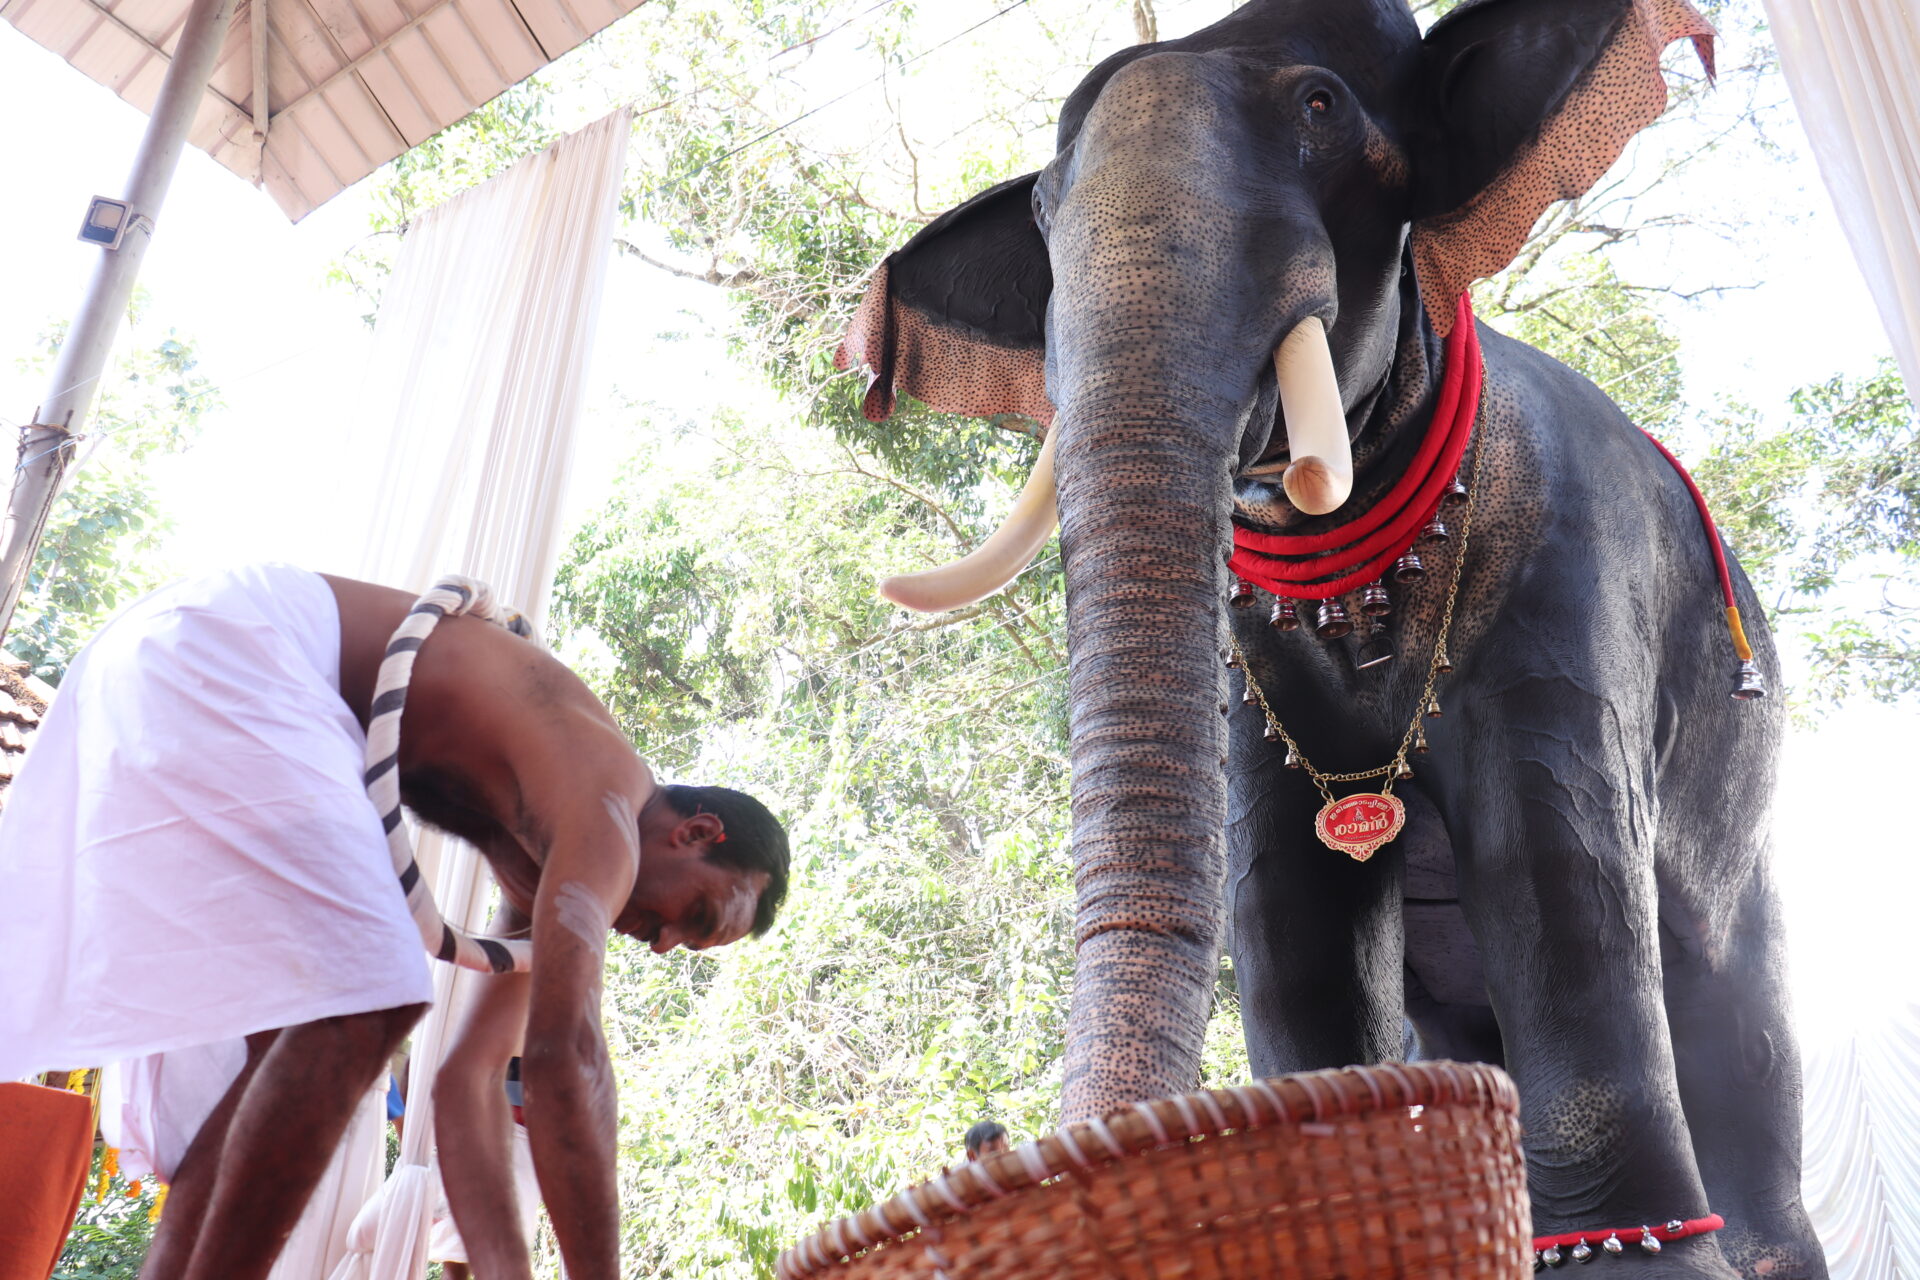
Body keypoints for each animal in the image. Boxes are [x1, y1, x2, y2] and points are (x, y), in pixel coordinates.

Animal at [838, 0, 1824, 1276]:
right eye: (1045, 206)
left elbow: (1553, 863)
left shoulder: (1569, 578)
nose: (991, 1144)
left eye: (1320, 109)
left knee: (1736, 1031)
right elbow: (1287, 906)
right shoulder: (1247, 685)